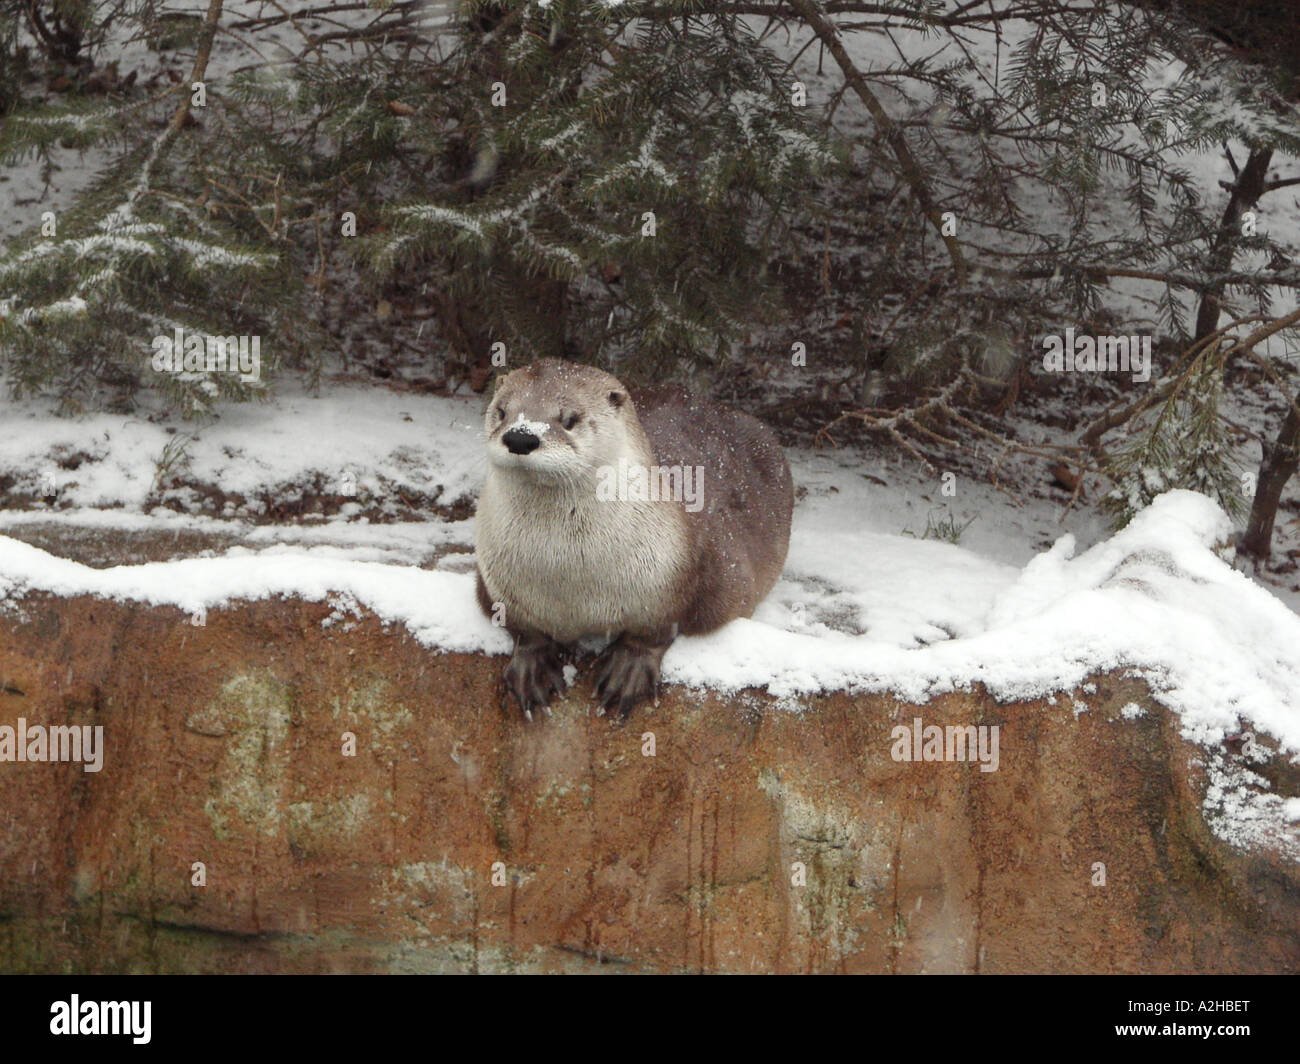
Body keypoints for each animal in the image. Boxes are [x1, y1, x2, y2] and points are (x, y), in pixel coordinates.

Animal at [475, 359, 793, 720]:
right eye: (502, 412)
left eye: (569, 419)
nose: (520, 436)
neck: (568, 576)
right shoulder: (497, 585)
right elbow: (523, 631)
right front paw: (532, 666)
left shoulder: (684, 577)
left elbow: (657, 629)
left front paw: (628, 669)